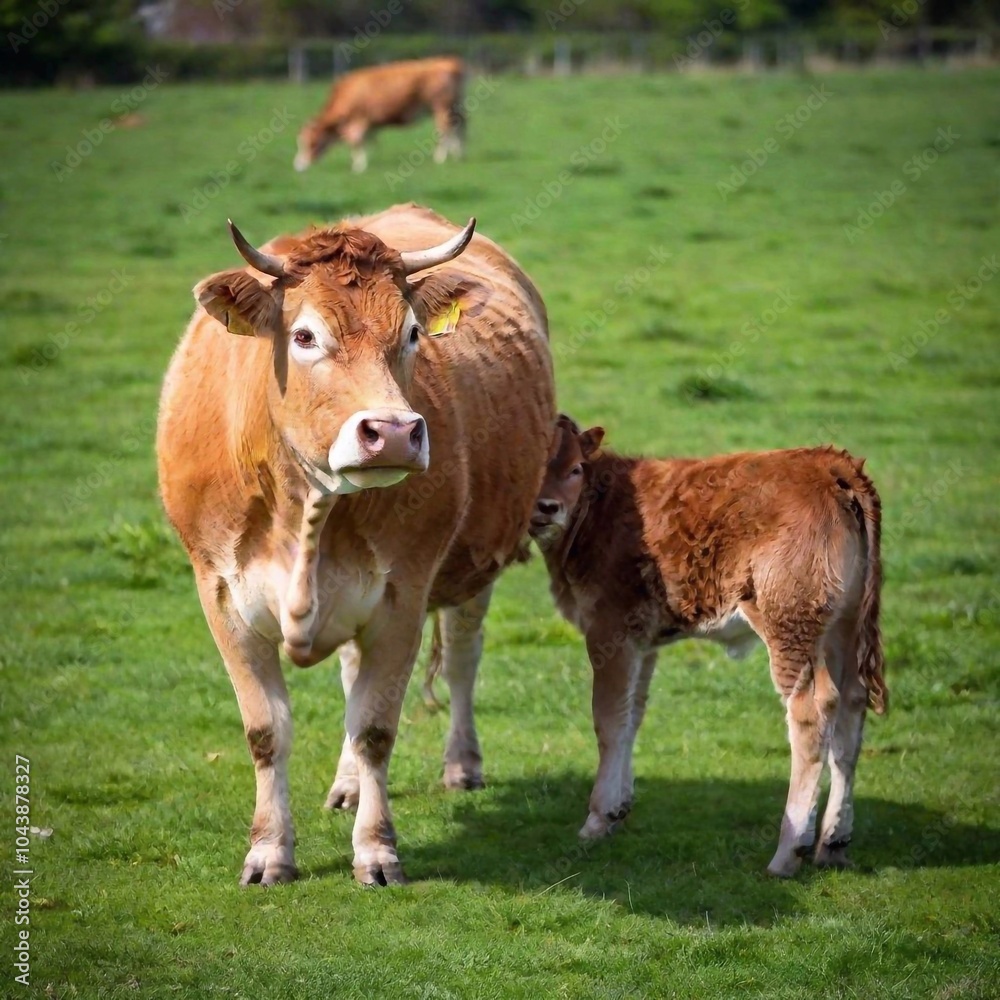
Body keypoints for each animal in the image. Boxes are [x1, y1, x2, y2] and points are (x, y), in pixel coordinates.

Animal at [157, 204, 555, 886]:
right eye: (304, 336)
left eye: (415, 333)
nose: (392, 433)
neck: (304, 511)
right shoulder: (220, 592)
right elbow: (266, 729)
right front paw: (268, 851)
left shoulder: (403, 594)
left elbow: (374, 727)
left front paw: (376, 851)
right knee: (351, 673)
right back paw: (345, 785)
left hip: (476, 564)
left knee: (463, 657)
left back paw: (462, 764)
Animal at [294, 57, 466, 174]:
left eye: (309, 142)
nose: (298, 165)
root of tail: (449, 62)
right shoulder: (368, 125)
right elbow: (367, 142)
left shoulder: (358, 121)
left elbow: (356, 142)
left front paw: (359, 167)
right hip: (454, 107)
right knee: (460, 126)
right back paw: (459, 154)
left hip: (441, 107)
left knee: (445, 130)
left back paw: (441, 157)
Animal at [528, 416, 887, 877]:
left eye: (575, 468)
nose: (546, 508)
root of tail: (829, 463)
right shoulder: (643, 641)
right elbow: (631, 715)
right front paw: (619, 809)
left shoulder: (610, 630)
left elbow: (607, 720)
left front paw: (596, 818)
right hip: (843, 624)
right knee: (852, 707)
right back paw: (834, 842)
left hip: (790, 620)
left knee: (813, 708)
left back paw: (788, 851)